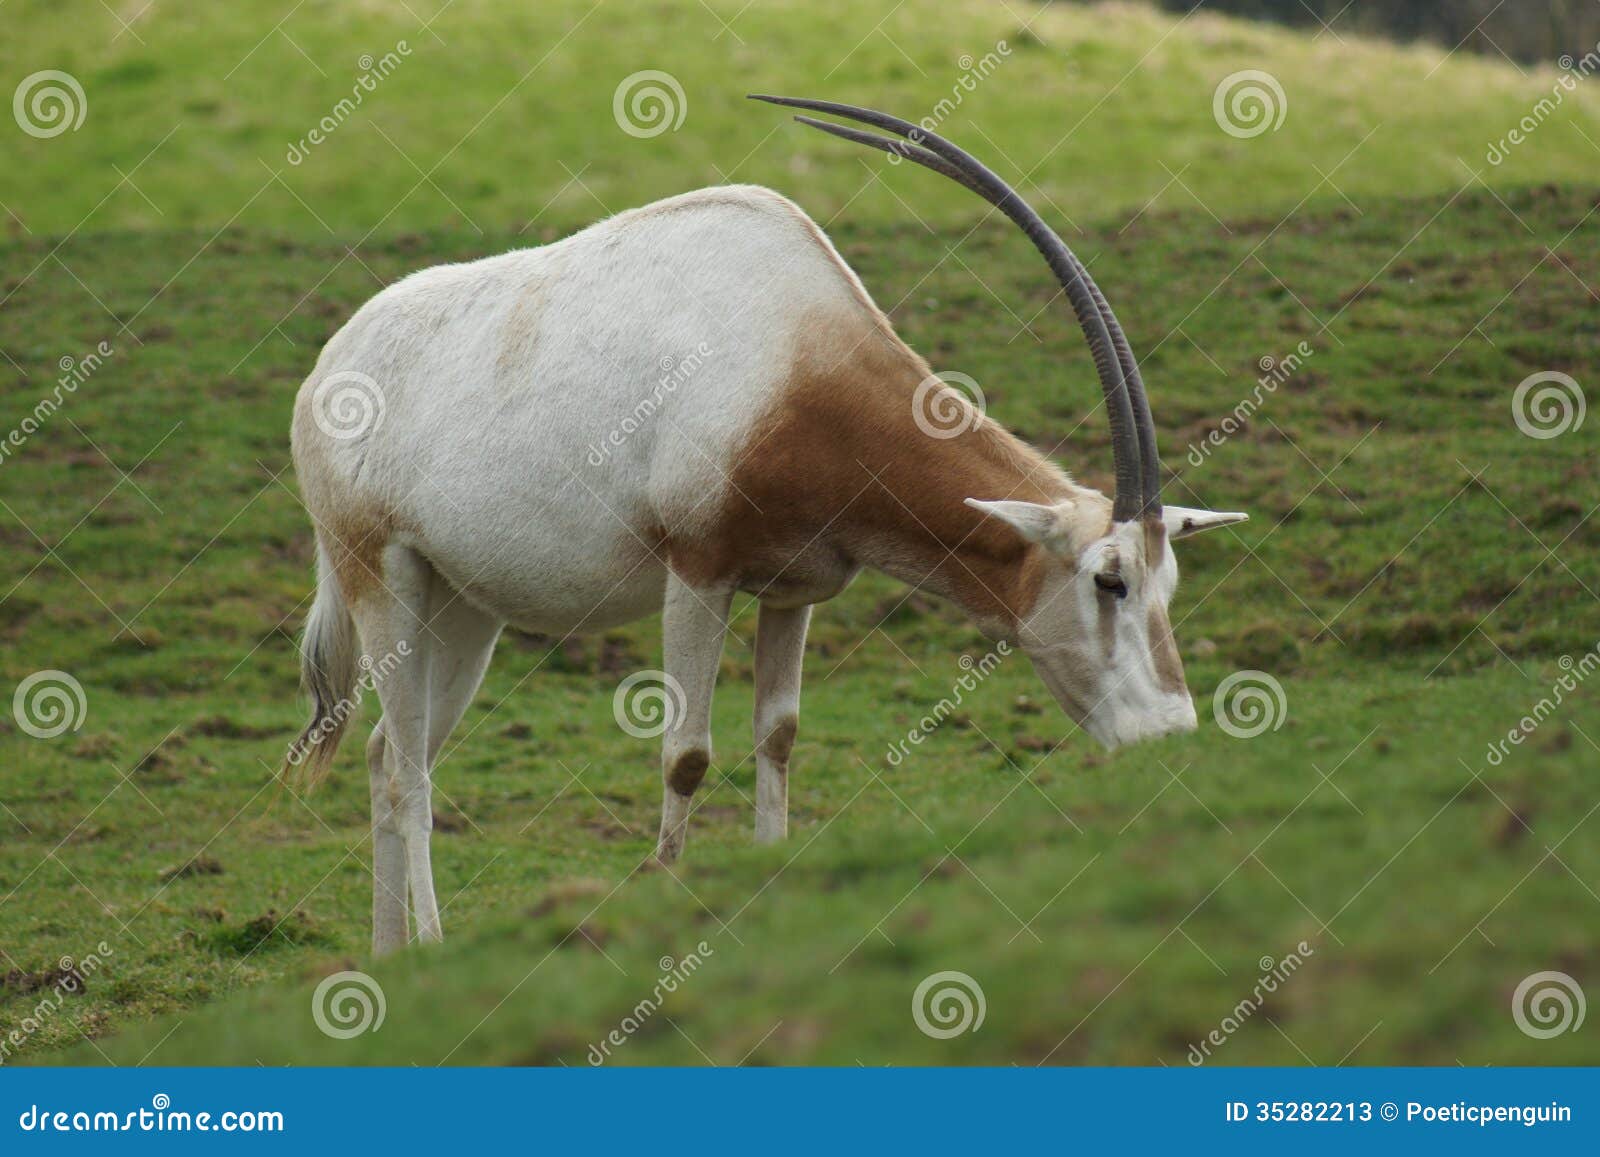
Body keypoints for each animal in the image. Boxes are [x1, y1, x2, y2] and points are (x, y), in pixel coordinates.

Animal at [285, 97, 1248, 954]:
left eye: (1167, 583)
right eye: (1109, 579)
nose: (1170, 734)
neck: (797, 364)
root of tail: (328, 366)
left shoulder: (795, 590)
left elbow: (778, 737)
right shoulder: (698, 574)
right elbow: (686, 755)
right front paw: (666, 892)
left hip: (465, 610)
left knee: (385, 753)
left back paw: (392, 959)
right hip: (384, 579)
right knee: (408, 771)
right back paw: (432, 944)